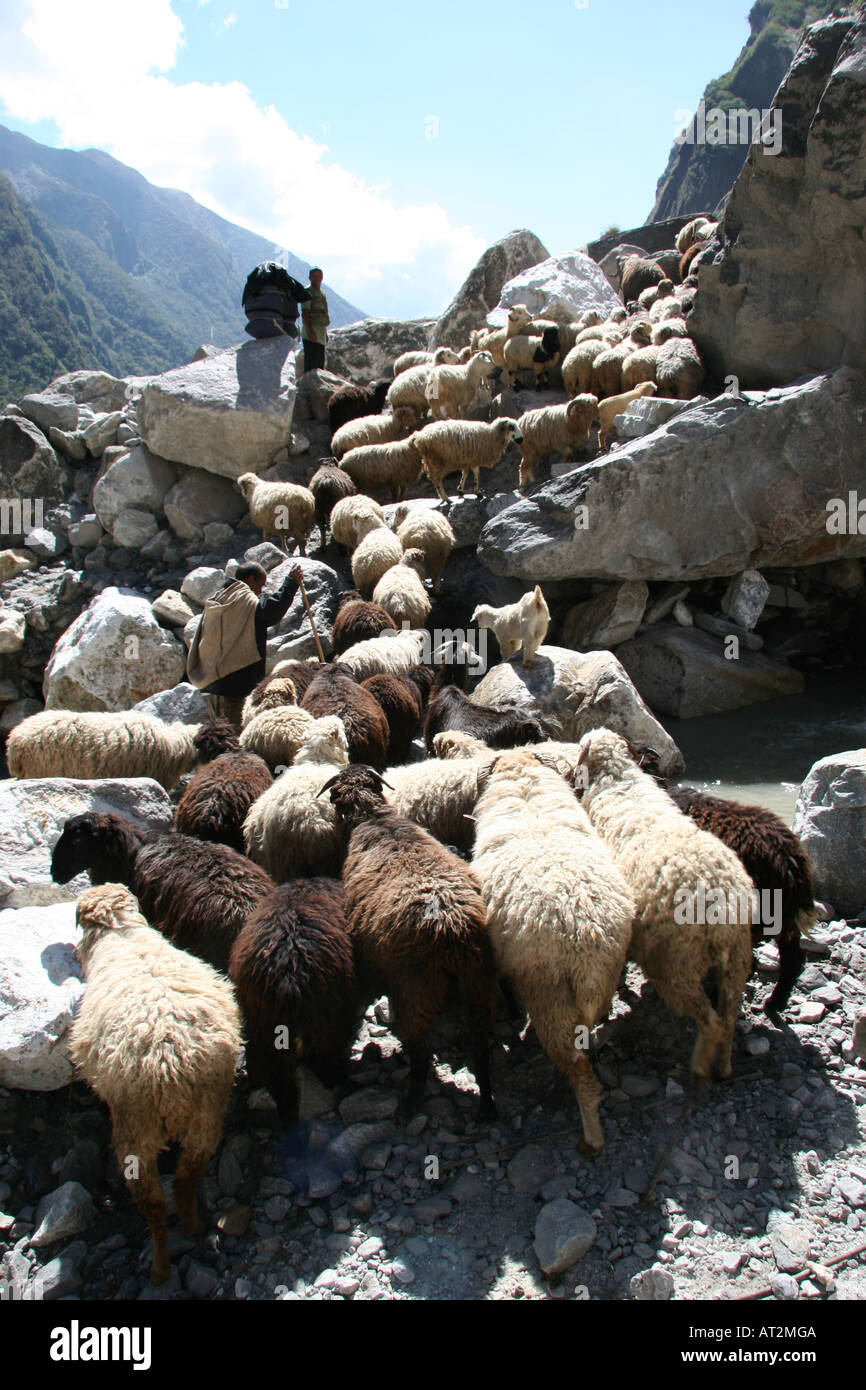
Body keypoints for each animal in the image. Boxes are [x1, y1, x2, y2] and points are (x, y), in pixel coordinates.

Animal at [70, 883, 241, 1284]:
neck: (122, 934)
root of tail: (170, 1067)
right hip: (206, 1118)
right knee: (184, 1179)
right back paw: (193, 1226)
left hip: (135, 1134)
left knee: (154, 1206)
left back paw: (160, 1268)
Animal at [228, 878, 357, 1124]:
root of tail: (288, 974)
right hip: (328, 1012)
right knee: (326, 1050)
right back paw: (336, 1078)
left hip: (263, 1021)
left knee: (275, 1071)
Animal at [322, 765, 497, 1117]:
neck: (373, 818)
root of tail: (453, 932)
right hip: (479, 985)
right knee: (481, 1051)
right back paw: (487, 1107)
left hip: (415, 993)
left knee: (420, 1055)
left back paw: (411, 1103)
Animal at [471, 750, 635, 1155]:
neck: (524, 784)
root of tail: (583, 939)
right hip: (602, 977)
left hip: (550, 998)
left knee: (580, 1071)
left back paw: (591, 1139)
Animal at [574, 729, 754, 1085]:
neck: (618, 778)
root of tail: (723, 910)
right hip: (736, 962)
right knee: (728, 1017)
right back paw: (724, 1067)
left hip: (675, 964)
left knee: (711, 1021)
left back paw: (699, 1068)